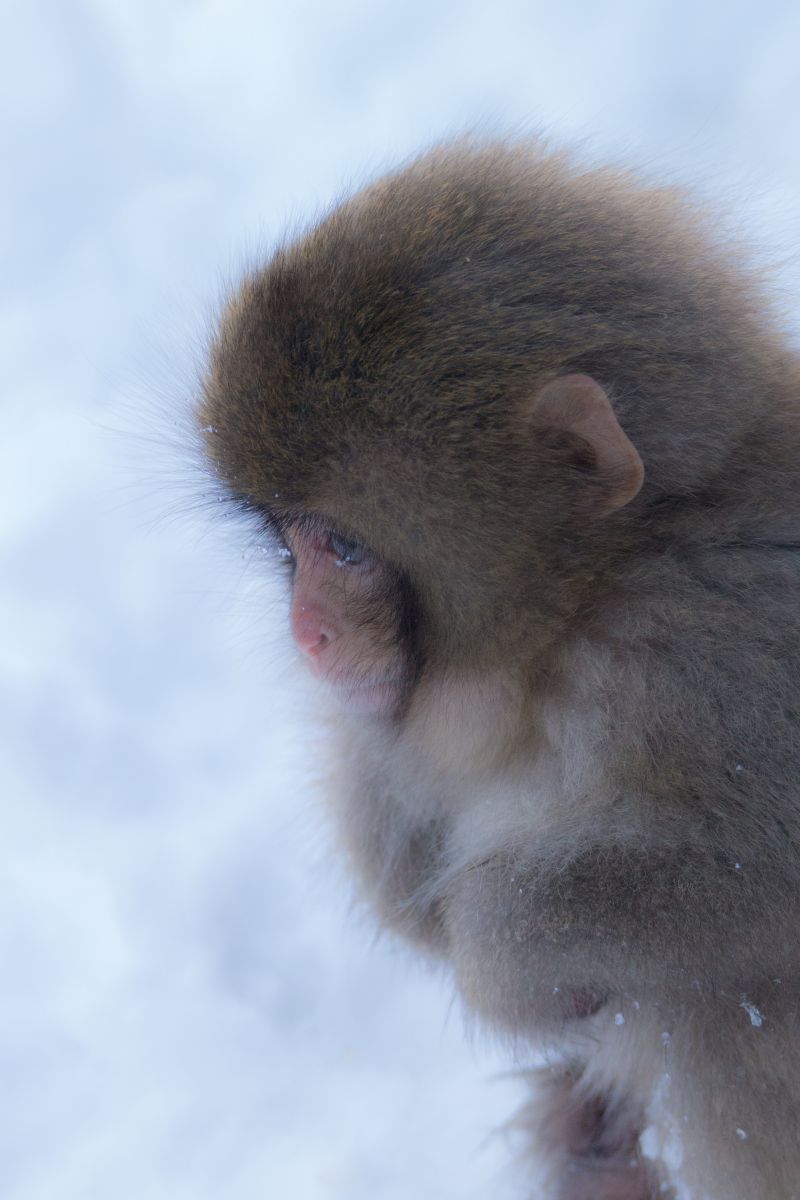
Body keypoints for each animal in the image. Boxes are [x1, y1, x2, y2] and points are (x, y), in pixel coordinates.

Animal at [199, 140, 800, 1199]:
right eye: (287, 542)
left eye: (341, 547)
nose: (307, 630)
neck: (585, 606)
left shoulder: (703, 668)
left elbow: (763, 873)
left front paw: (497, 955)